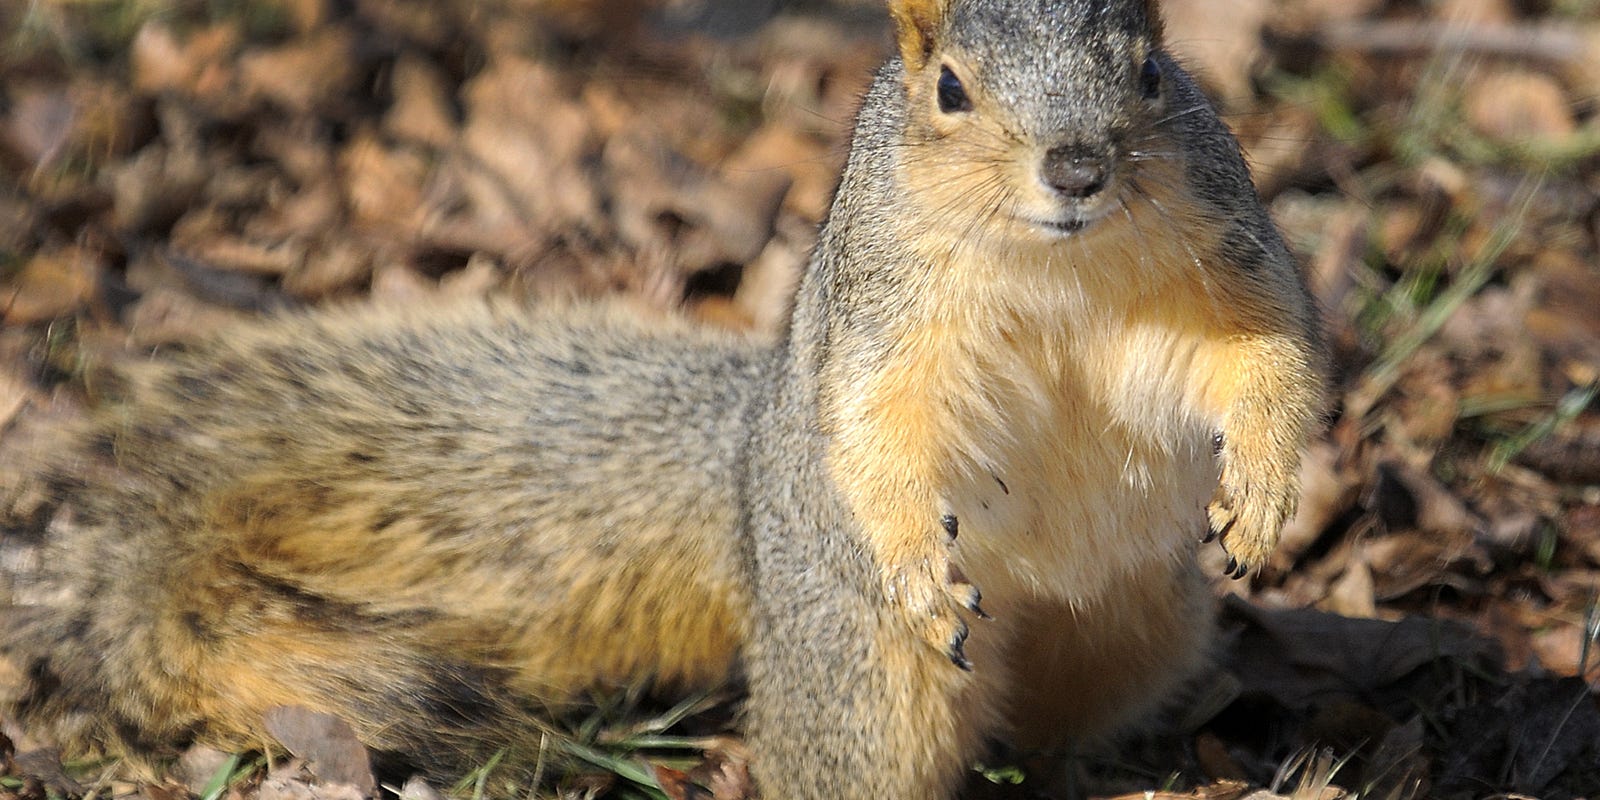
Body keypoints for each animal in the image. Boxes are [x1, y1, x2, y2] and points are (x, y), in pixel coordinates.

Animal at [0, 0, 1326, 797]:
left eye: (1150, 71)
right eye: (948, 89)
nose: (1077, 166)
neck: (1056, 262)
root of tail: (738, 495)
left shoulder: (1223, 265)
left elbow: (1266, 361)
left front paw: (1262, 494)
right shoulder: (884, 320)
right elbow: (879, 430)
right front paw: (915, 556)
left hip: (1135, 628)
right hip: (857, 674)